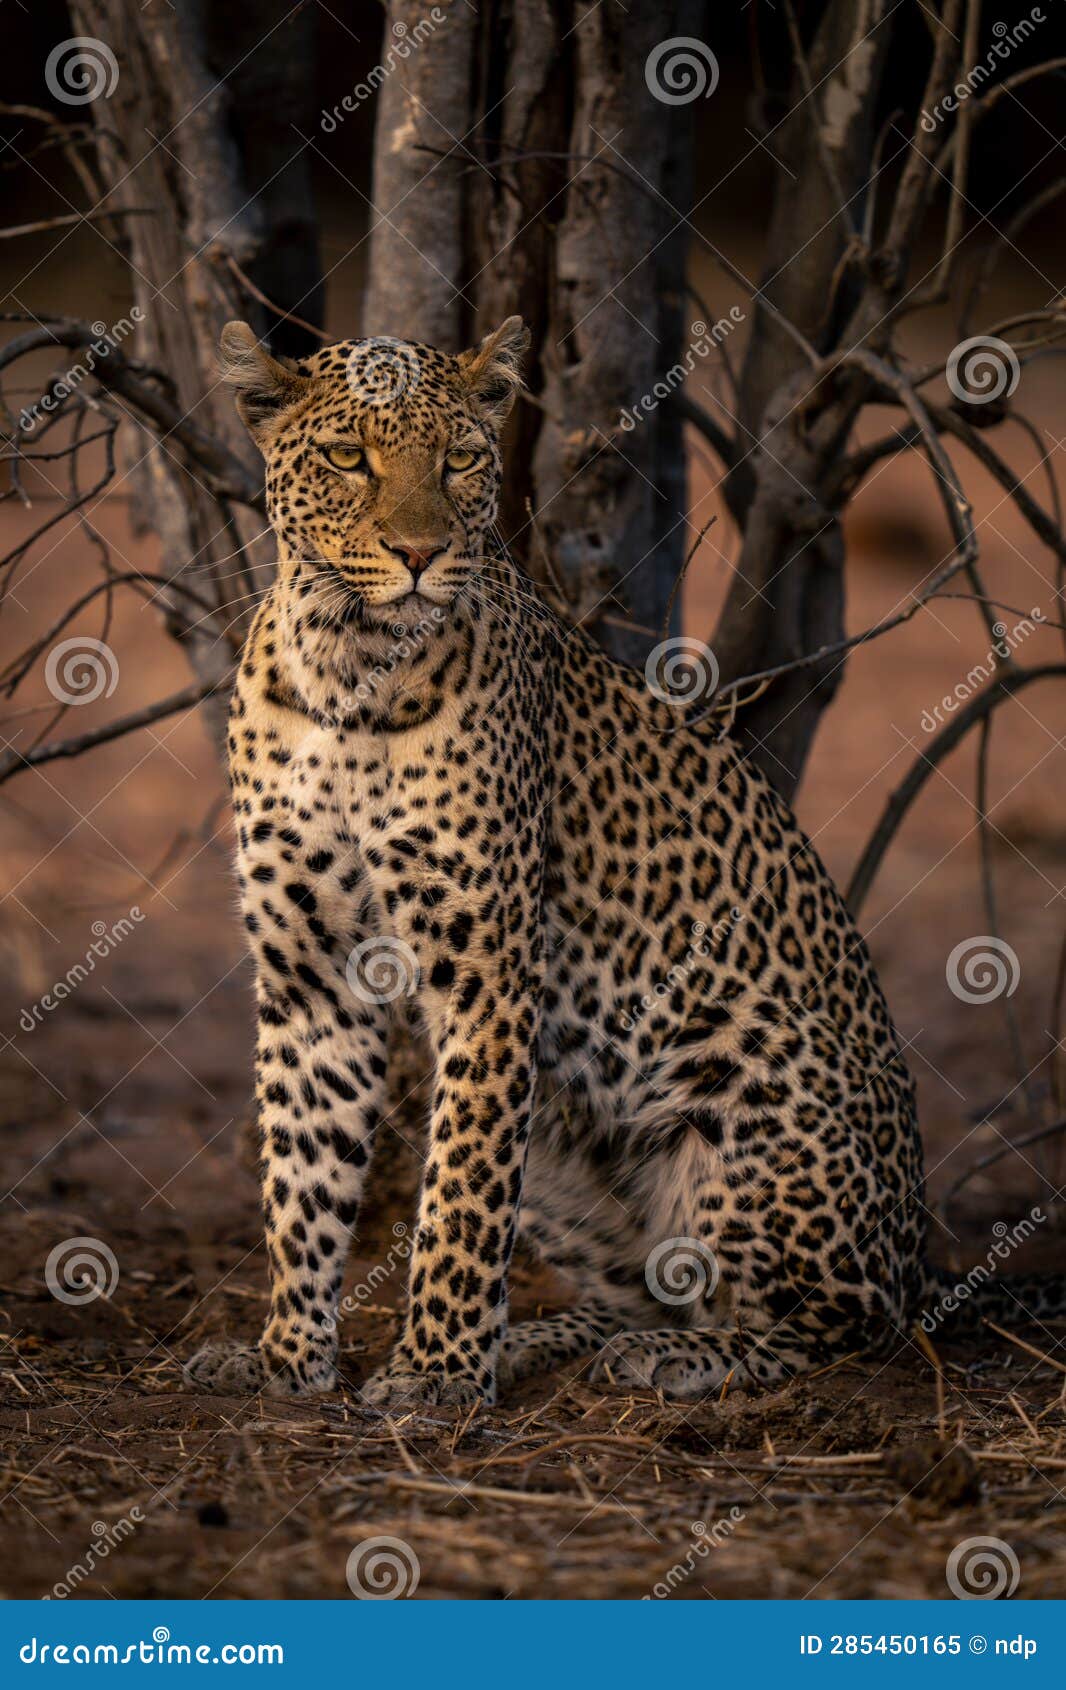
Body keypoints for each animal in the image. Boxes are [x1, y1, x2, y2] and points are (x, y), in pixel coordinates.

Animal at [185, 315, 1065, 1410]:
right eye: (348, 458)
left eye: (461, 459)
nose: (420, 554)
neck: (349, 666)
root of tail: (918, 1251)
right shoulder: (309, 969)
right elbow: (302, 1179)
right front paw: (286, 1360)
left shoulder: (485, 968)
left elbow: (460, 1195)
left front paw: (435, 1374)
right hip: (566, 1144)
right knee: (644, 1290)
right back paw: (553, 1338)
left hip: (750, 1112)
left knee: (840, 1325)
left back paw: (679, 1360)